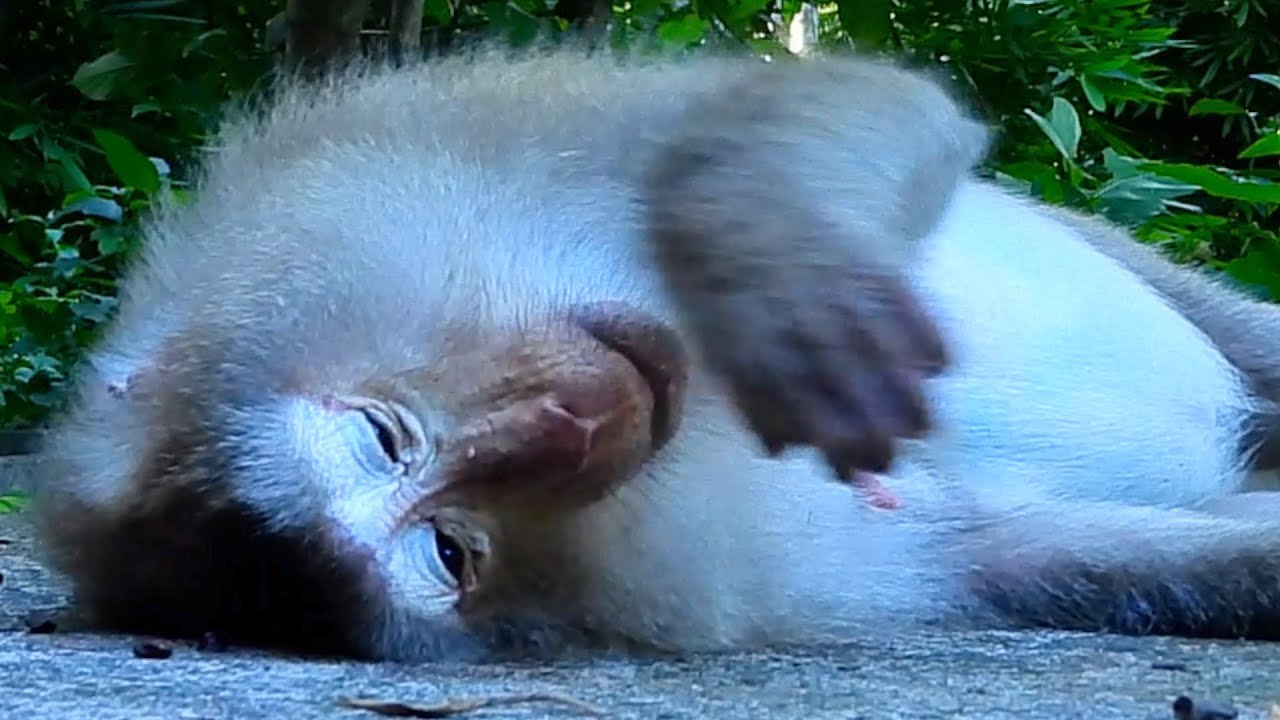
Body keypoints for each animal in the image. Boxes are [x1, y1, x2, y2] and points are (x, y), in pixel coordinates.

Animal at [30, 42, 1280, 663]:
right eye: (453, 553)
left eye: (385, 437)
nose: (571, 427)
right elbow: (1045, 554)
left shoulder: (456, 135)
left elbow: (860, 101)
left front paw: (777, 278)